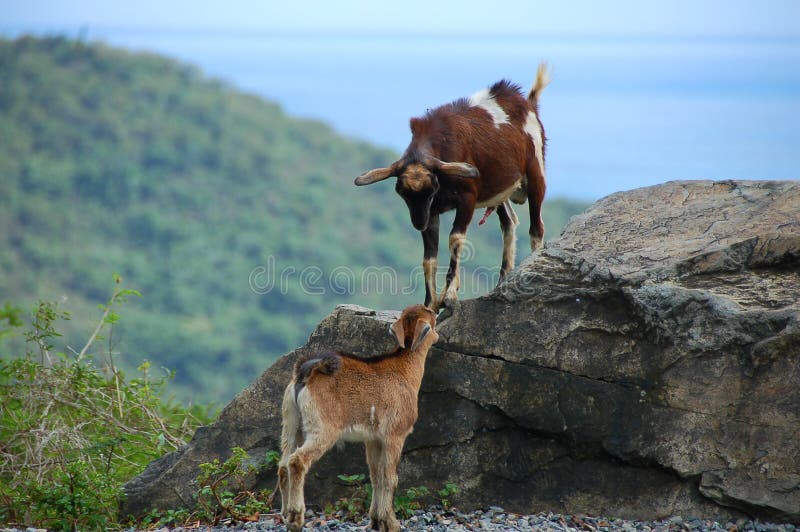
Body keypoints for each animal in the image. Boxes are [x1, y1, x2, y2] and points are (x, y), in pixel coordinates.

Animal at [278, 304, 439, 532]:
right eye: (432, 322)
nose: (438, 335)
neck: (404, 372)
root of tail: (305, 376)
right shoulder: (395, 435)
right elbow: (390, 477)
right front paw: (392, 522)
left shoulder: (373, 439)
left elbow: (376, 475)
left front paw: (376, 520)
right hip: (322, 427)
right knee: (297, 460)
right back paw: (295, 518)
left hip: (291, 422)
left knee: (283, 464)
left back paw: (284, 514)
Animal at [354, 63, 551, 311]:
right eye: (401, 191)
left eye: (431, 188)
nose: (418, 222)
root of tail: (528, 103)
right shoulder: (432, 211)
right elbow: (429, 257)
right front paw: (430, 304)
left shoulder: (467, 198)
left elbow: (455, 238)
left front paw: (449, 296)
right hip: (499, 191)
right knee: (509, 222)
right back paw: (502, 280)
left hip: (536, 173)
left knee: (536, 227)